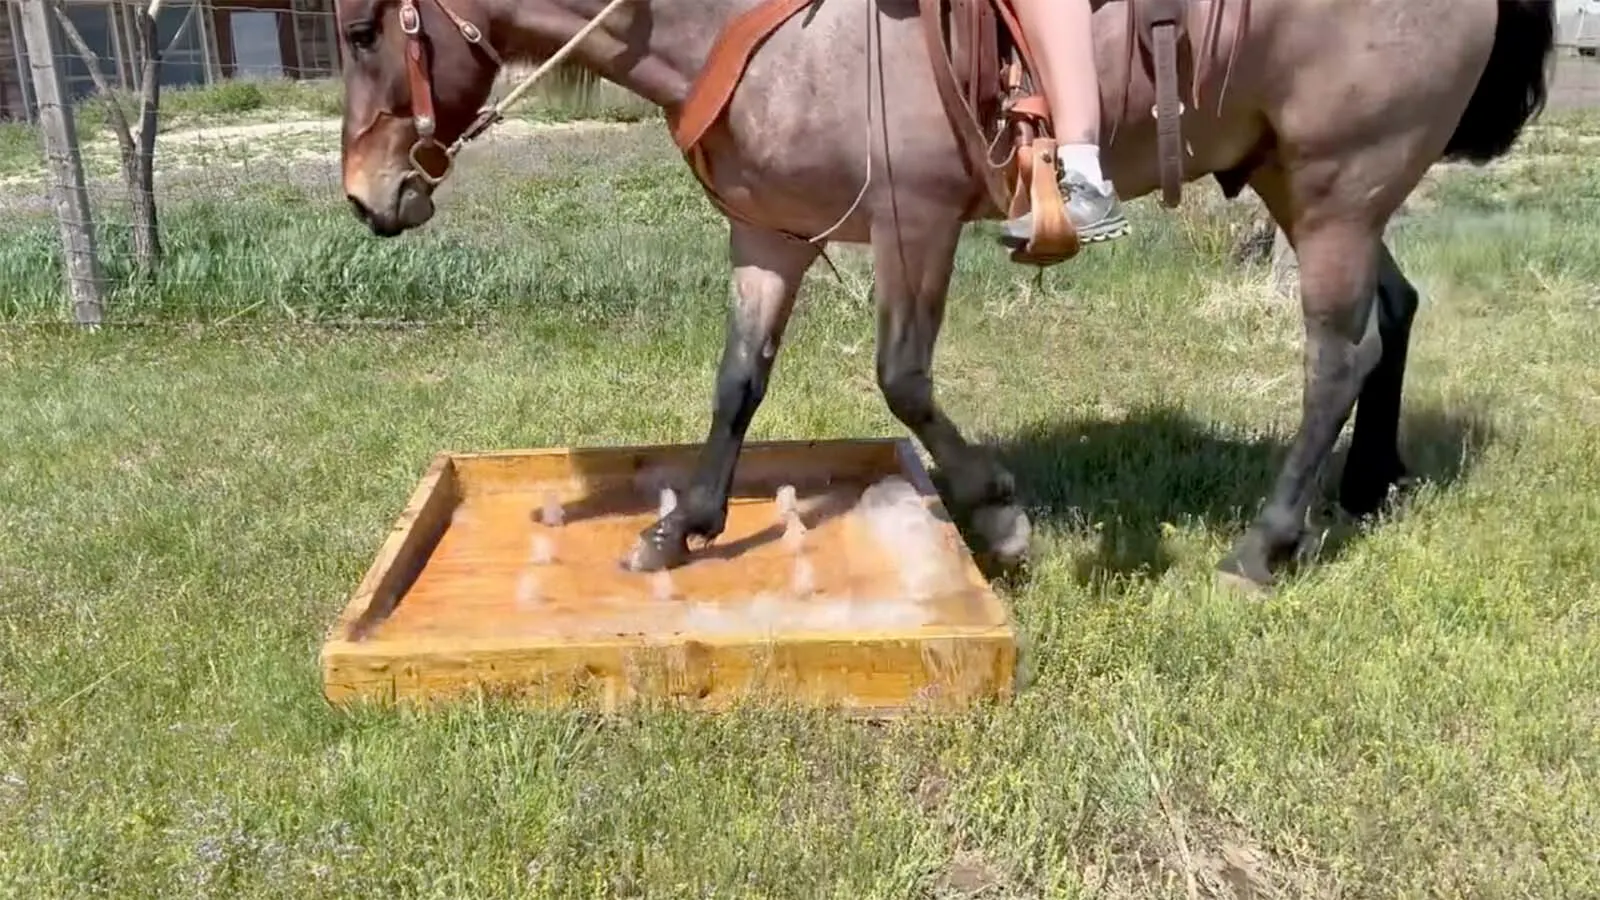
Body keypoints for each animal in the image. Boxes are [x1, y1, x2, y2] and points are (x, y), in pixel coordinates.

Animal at [335, 0, 1556, 591]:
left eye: (358, 30)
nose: (366, 195)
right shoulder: (766, 233)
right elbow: (737, 383)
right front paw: (682, 528)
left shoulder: (910, 220)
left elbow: (902, 379)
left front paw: (1001, 518)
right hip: (1306, 184)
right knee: (1392, 314)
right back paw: (1369, 485)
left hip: (1339, 184)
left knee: (1335, 355)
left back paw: (1265, 545)